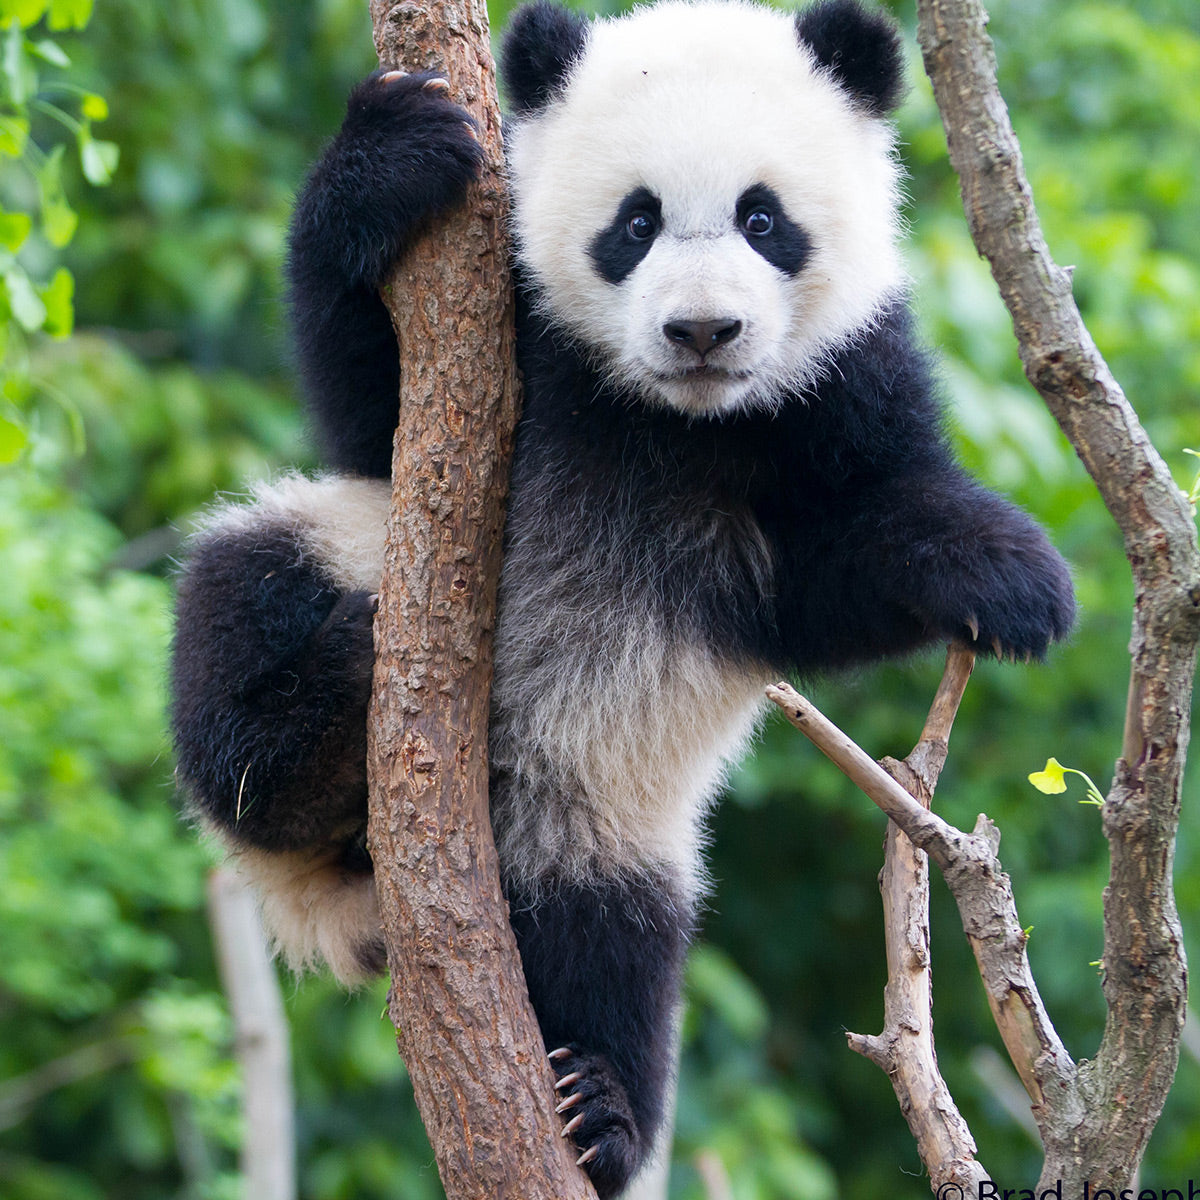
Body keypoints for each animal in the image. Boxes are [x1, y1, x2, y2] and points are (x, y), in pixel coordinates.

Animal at [169, 1, 1075, 1195]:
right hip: (328, 553)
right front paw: (394, 150)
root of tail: (343, 882)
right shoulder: (506, 341)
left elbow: (836, 571)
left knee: (613, 944)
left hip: (600, 816)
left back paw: (597, 1108)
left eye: (762, 218)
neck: (669, 420)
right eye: (634, 223)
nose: (702, 332)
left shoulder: (839, 388)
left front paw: (1013, 578)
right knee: (236, 618)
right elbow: (367, 406)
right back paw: (314, 723)